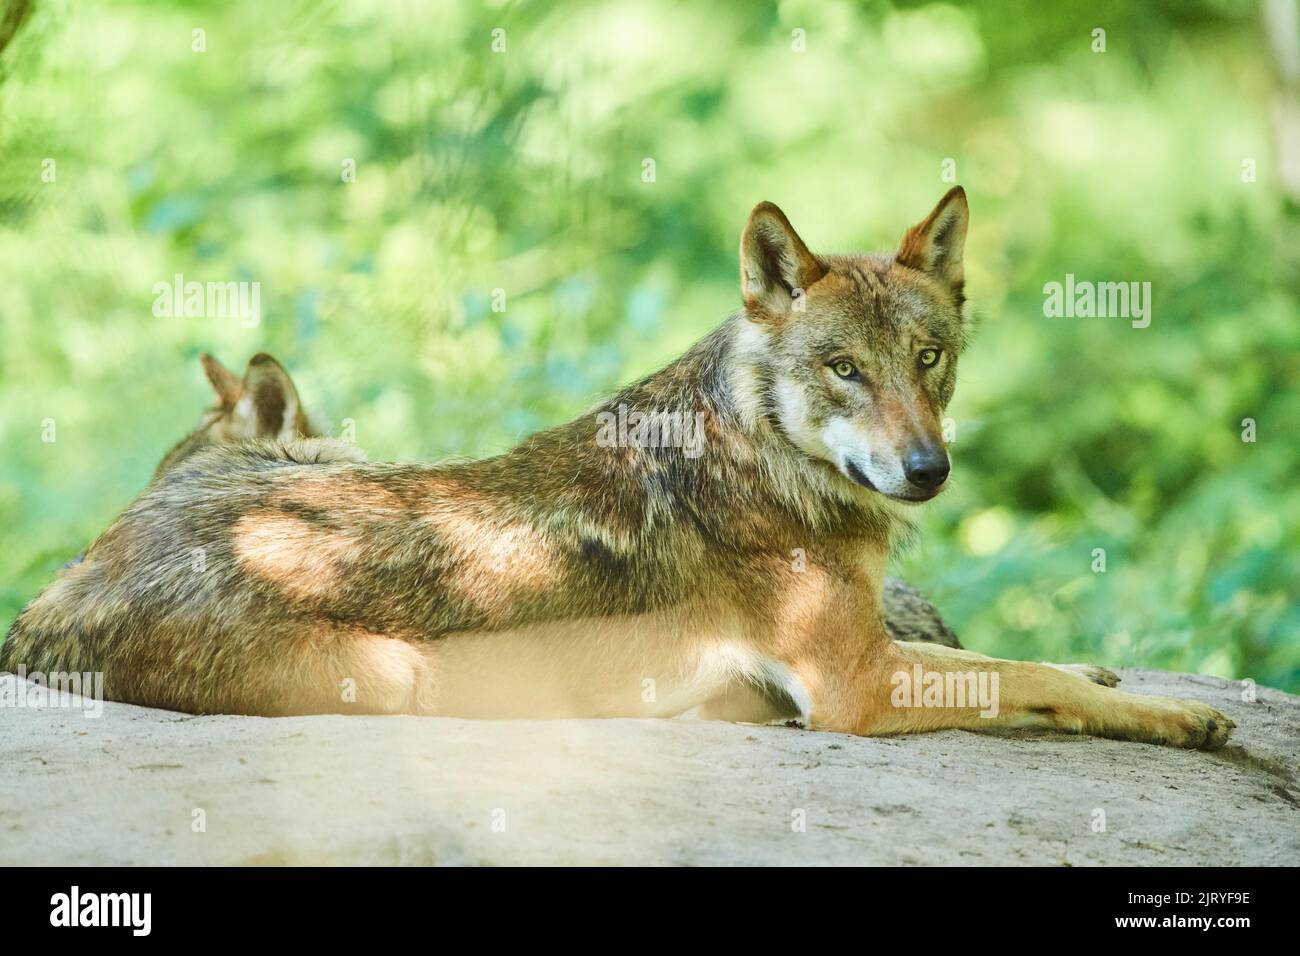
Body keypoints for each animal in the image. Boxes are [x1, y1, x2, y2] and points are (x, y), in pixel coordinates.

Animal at [1, 188, 1232, 747]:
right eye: (842, 369)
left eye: (927, 360)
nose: (926, 470)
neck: (767, 455)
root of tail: (57, 596)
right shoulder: (853, 687)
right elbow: (1028, 678)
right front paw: (1176, 715)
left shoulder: (873, 650)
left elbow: (1018, 657)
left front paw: (1123, 677)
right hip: (407, 679)